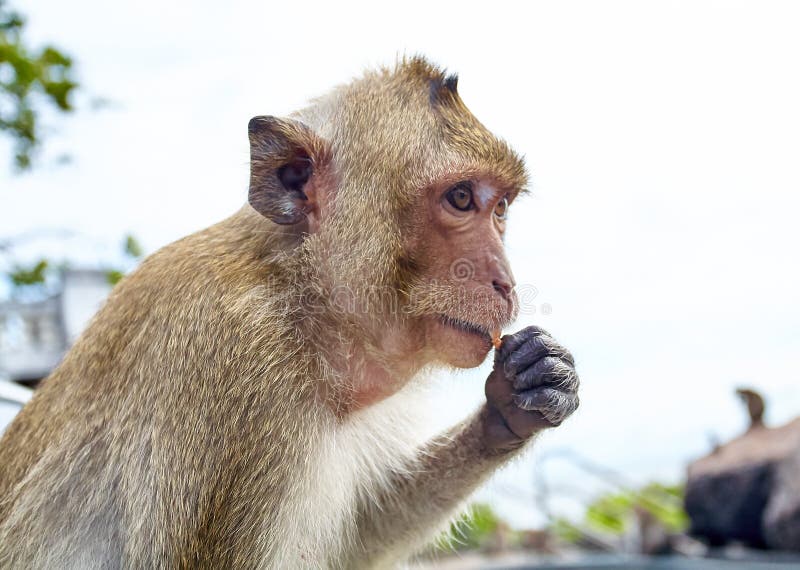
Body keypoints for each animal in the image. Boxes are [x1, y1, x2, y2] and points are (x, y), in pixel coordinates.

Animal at [0, 57, 579, 568]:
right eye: (460, 198)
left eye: (500, 207)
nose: (506, 283)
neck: (299, 297)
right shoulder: (235, 364)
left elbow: (354, 540)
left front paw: (517, 400)